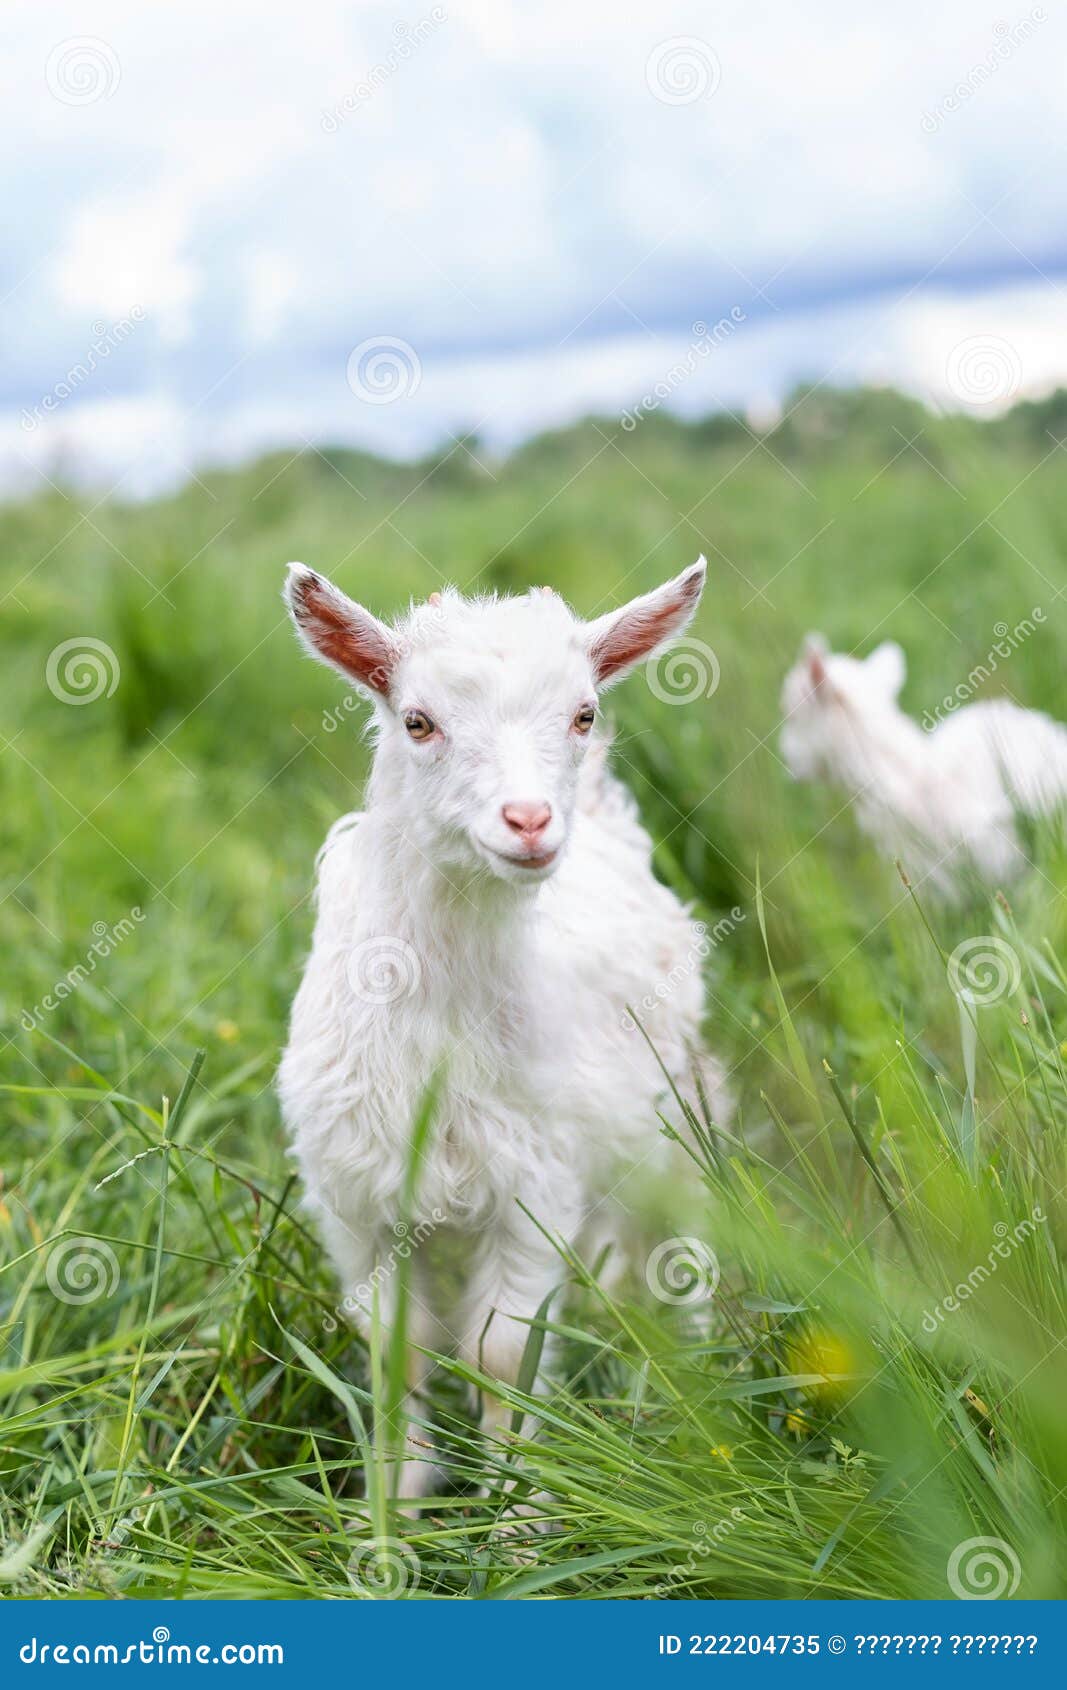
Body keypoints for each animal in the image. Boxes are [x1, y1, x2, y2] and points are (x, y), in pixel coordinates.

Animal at [278, 560, 728, 1502]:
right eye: (417, 720)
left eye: (582, 713)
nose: (528, 822)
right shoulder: (355, 1201)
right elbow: (397, 1349)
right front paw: (395, 1504)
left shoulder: (533, 1183)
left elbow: (502, 1353)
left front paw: (517, 1513)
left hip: (677, 1101)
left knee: (686, 1221)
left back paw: (700, 1357)